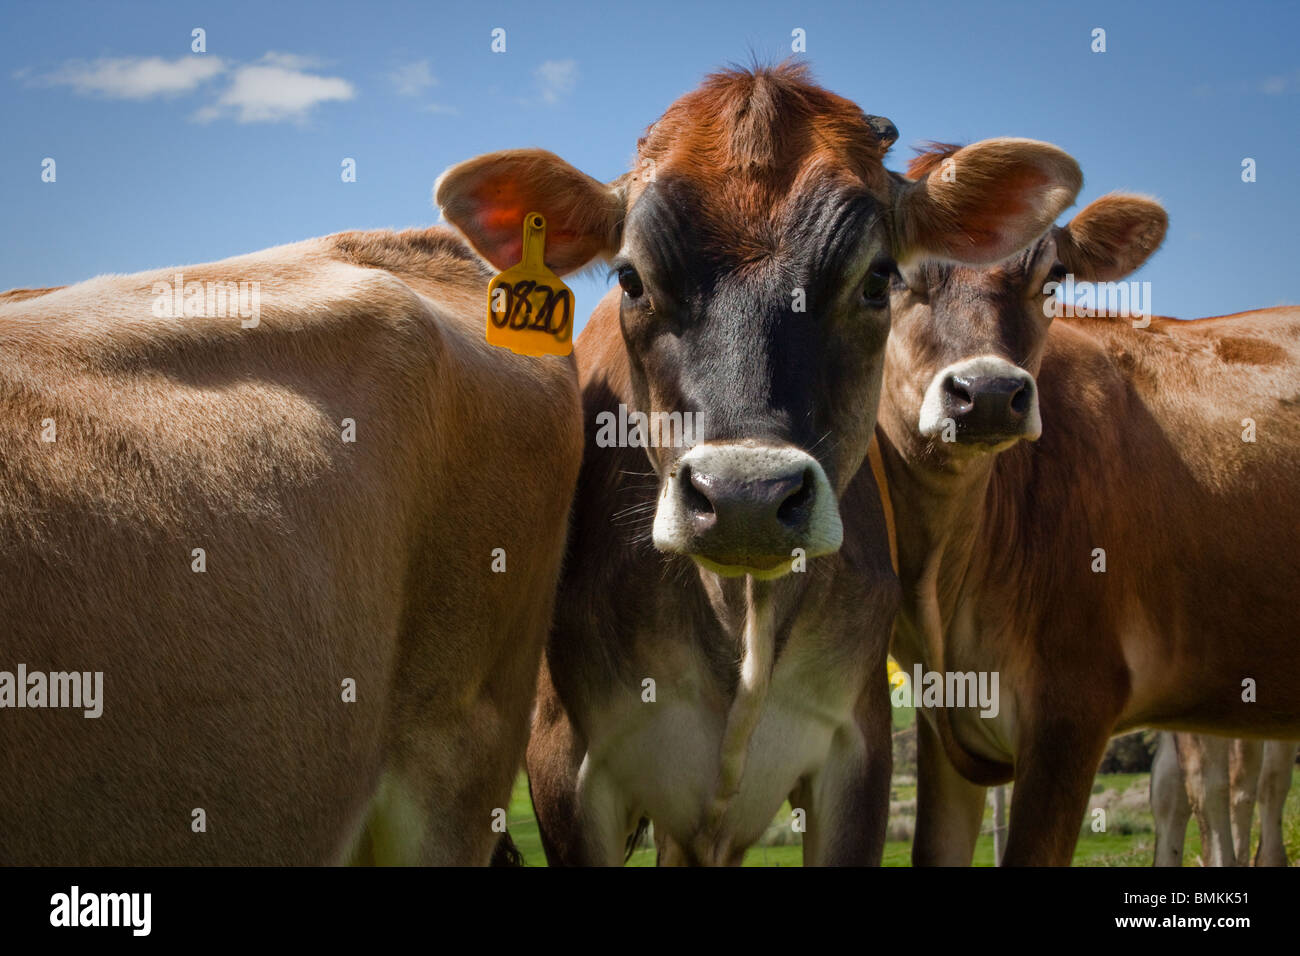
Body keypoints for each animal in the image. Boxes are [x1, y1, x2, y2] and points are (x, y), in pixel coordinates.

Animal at [437, 63, 1086, 865]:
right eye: (630, 279)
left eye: (879, 280)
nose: (745, 496)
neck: (741, 608)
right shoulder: (565, 766)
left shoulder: (857, 747)